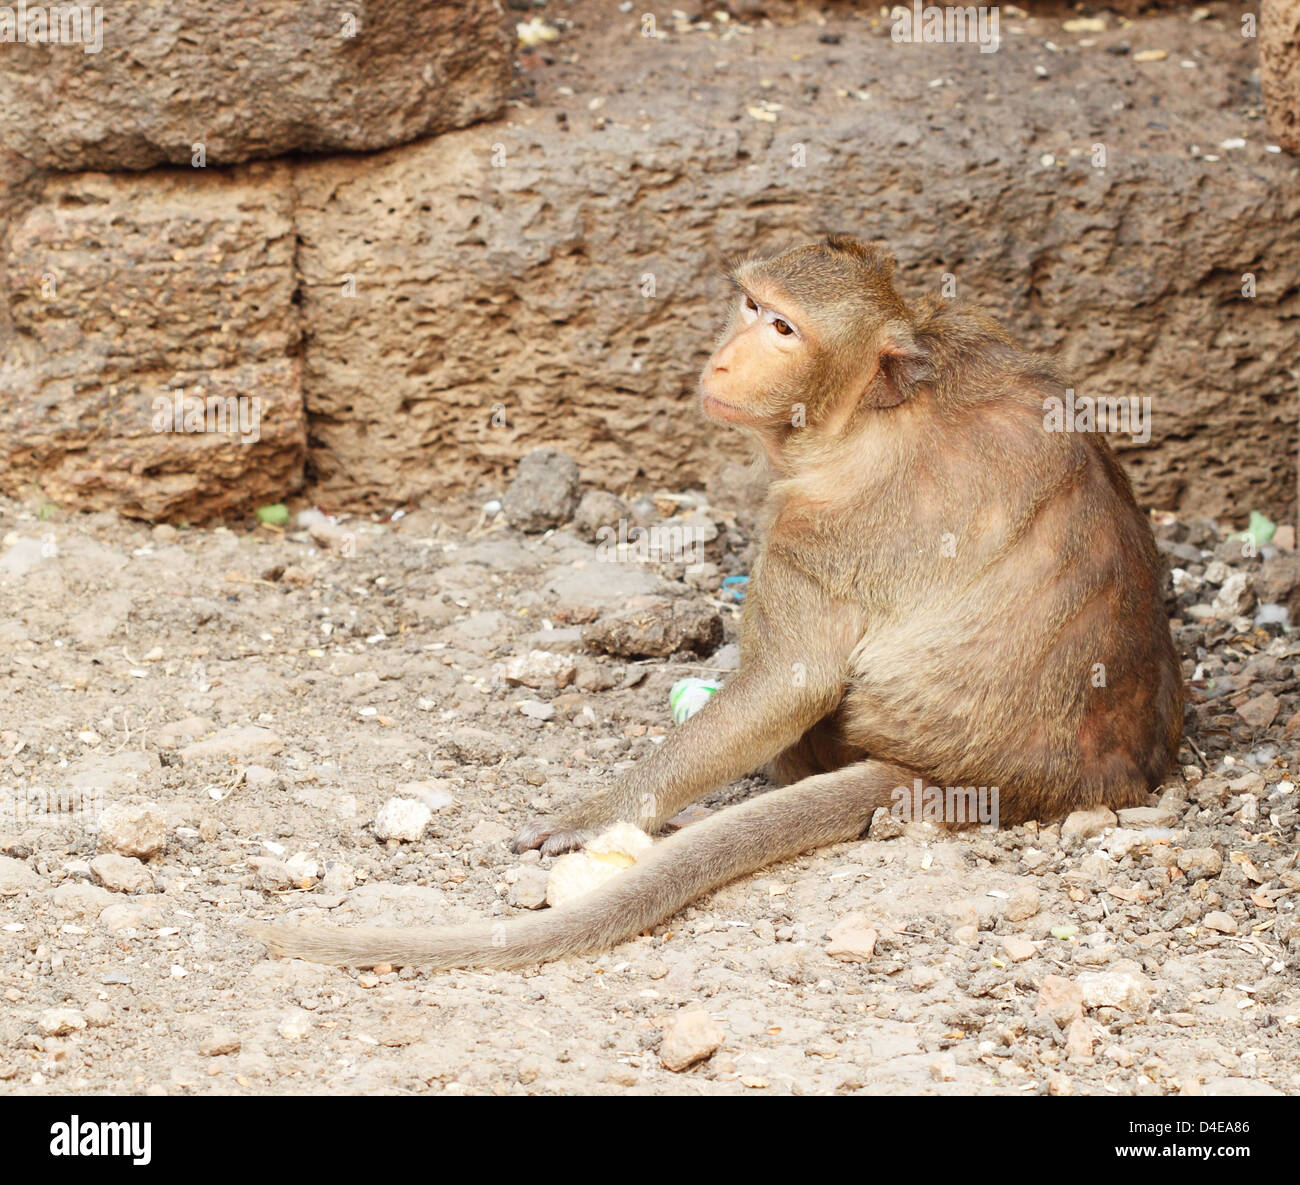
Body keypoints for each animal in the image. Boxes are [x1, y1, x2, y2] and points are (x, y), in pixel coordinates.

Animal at [253, 234, 1183, 970]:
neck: (874, 409)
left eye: (785, 328)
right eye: (750, 304)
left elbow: (789, 687)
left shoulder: (816, 527)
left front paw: (604, 811)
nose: (725, 358)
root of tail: (1032, 781)